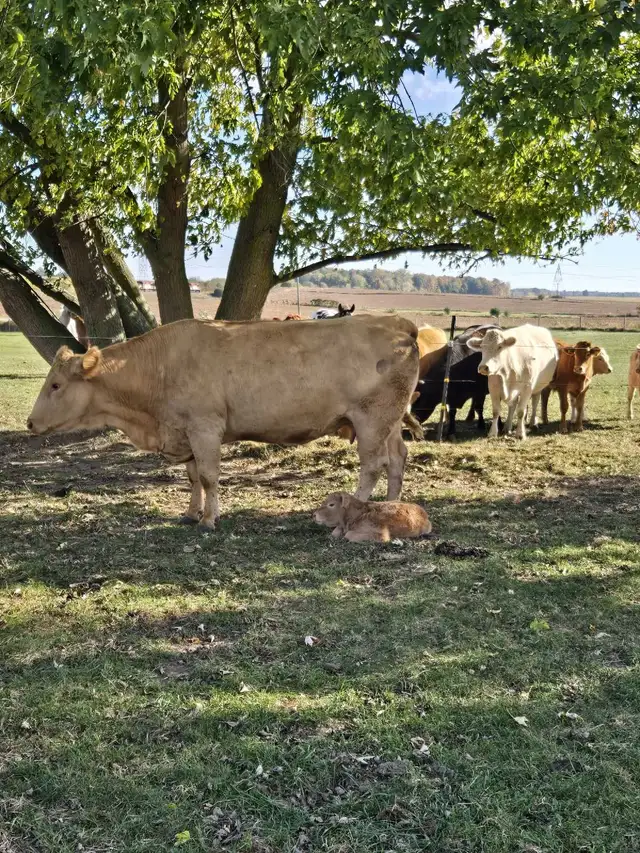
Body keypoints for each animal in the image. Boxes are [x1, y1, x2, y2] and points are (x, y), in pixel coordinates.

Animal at [27, 316, 419, 529]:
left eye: (56, 385)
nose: (30, 423)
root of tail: (399, 324)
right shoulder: (185, 430)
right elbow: (192, 476)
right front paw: (191, 512)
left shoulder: (205, 427)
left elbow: (207, 475)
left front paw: (208, 519)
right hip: (389, 422)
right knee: (397, 460)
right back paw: (390, 507)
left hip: (371, 418)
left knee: (373, 465)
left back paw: (356, 507)